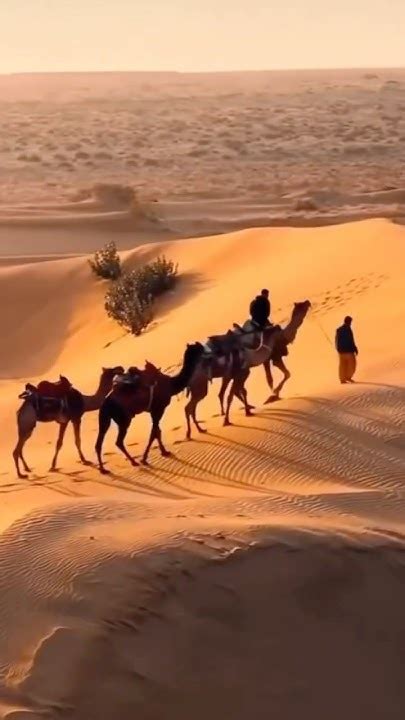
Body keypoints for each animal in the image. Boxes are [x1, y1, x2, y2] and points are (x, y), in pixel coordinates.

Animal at [95, 342, 204, 474]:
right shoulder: (158, 409)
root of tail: (105, 402)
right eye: (196, 348)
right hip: (123, 419)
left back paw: (103, 469)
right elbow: (154, 432)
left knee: (99, 442)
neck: (170, 384)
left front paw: (164, 452)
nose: (205, 348)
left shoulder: (154, 410)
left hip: (105, 418)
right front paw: (145, 458)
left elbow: (157, 431)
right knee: (118, 441)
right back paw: (133, 462)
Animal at [185, 300, 311, 437]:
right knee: (196, 405)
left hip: (216, 379)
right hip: (208, 383)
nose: (308, 302)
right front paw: (273, 396)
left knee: (214, 397)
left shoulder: (253, 365)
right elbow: (279, 376)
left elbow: (268, 380)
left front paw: (271, 397)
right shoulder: (271, 357)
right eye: (301, 305)